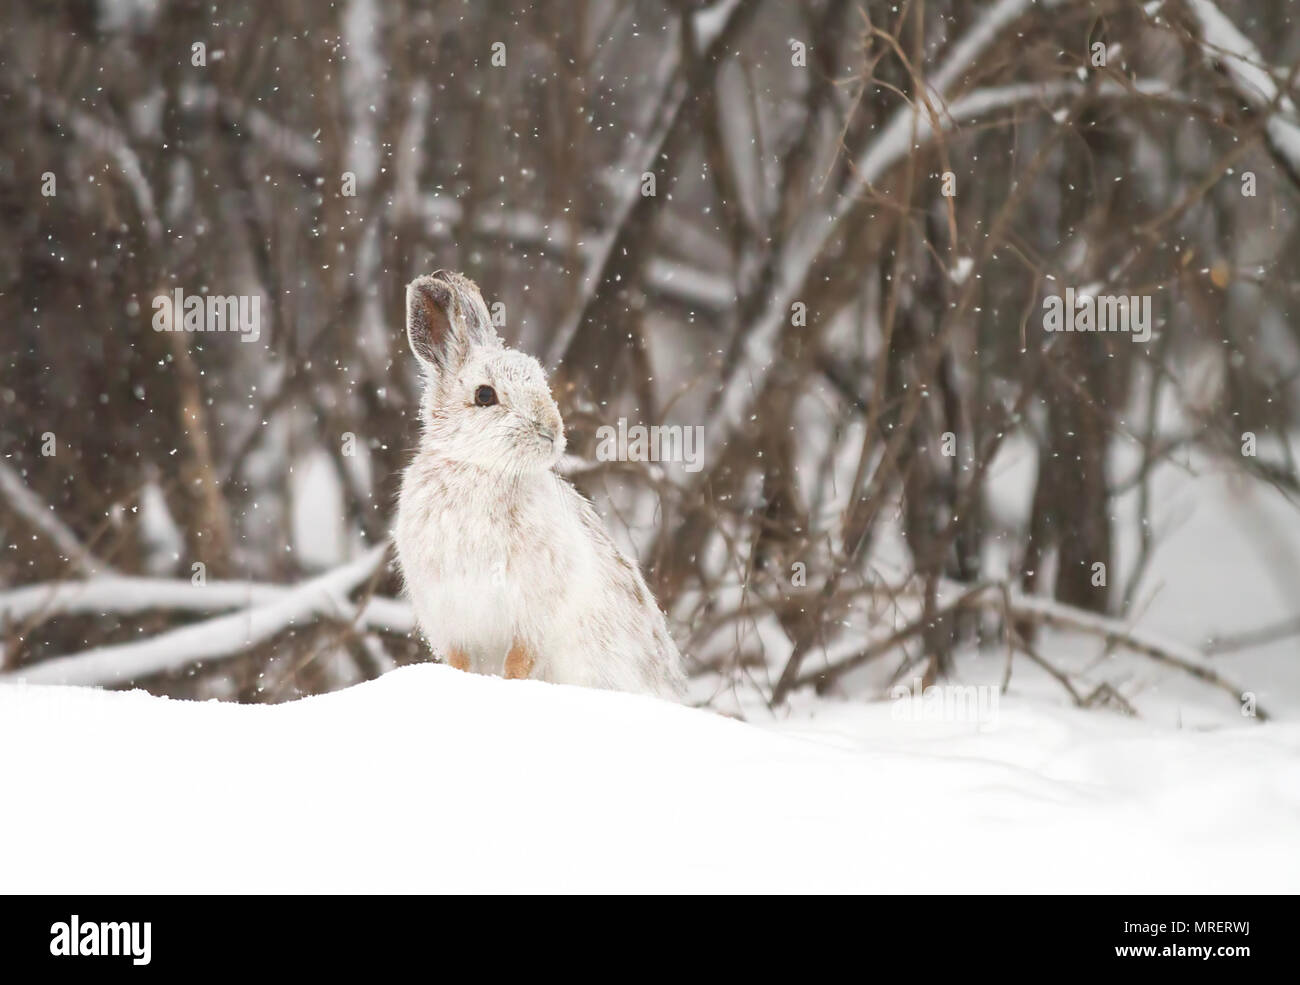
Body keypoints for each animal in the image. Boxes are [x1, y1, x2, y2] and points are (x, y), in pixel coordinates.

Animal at [393, 271, 686, 700]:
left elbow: (519, 661)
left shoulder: (531, 617)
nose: (552, 431)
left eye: (540, 382)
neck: (480, 470)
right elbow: (462, 662)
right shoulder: (453, 618)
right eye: (484, 395)